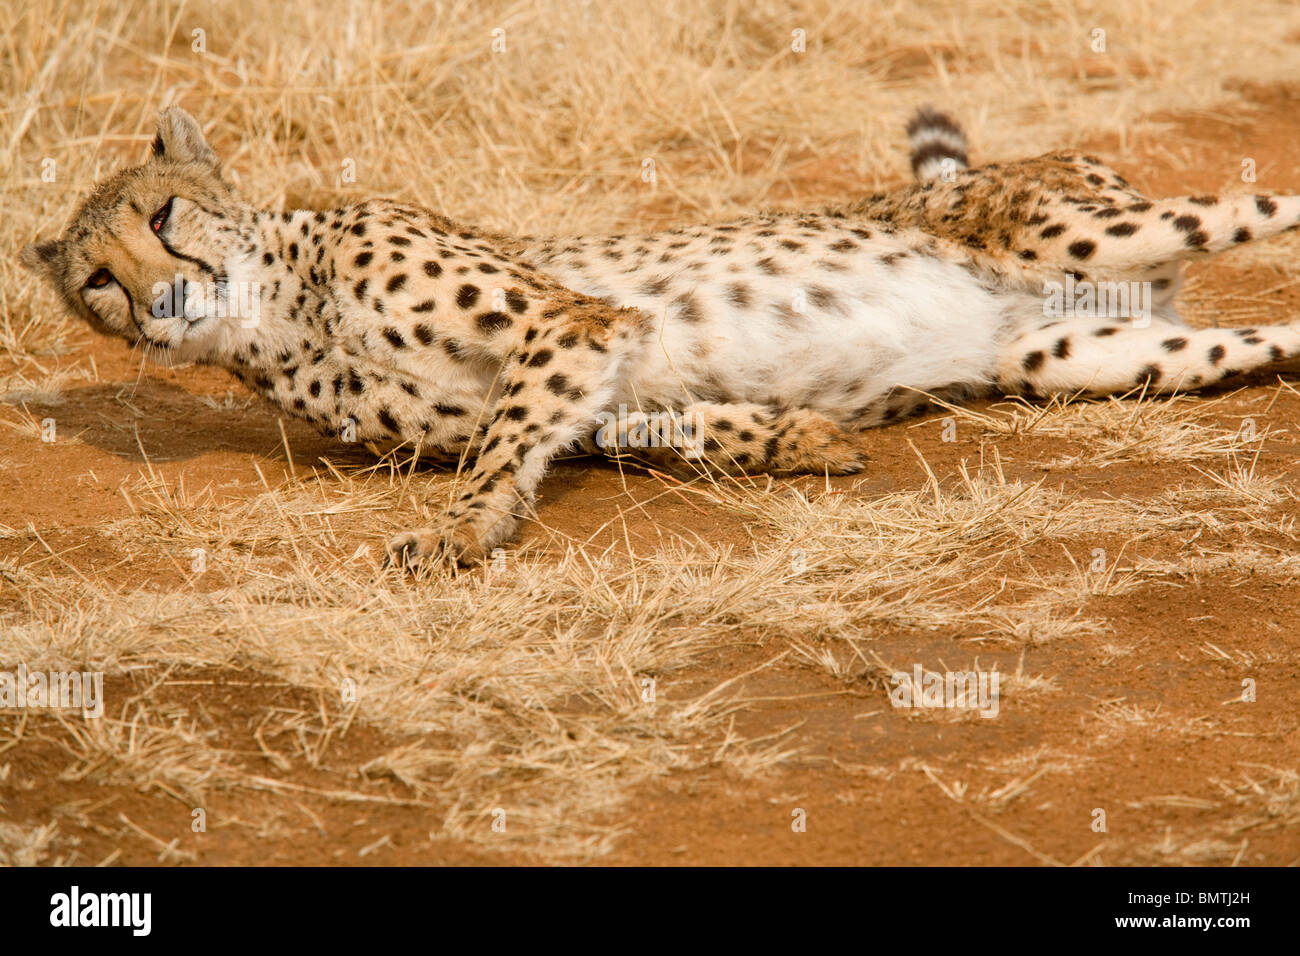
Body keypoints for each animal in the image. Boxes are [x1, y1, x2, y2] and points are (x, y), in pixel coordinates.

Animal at [20, 106, 1300, 569]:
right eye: (97, 279)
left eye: (162, 215)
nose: (158, 300)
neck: (279, 307)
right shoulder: (602, 380)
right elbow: (670, 429)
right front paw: (799, 439)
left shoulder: (564, 321)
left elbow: (502, 444)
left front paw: (456, 533)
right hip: (1071, 355)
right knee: (1259, 335)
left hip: (1083, 226)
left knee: (1258, 207)